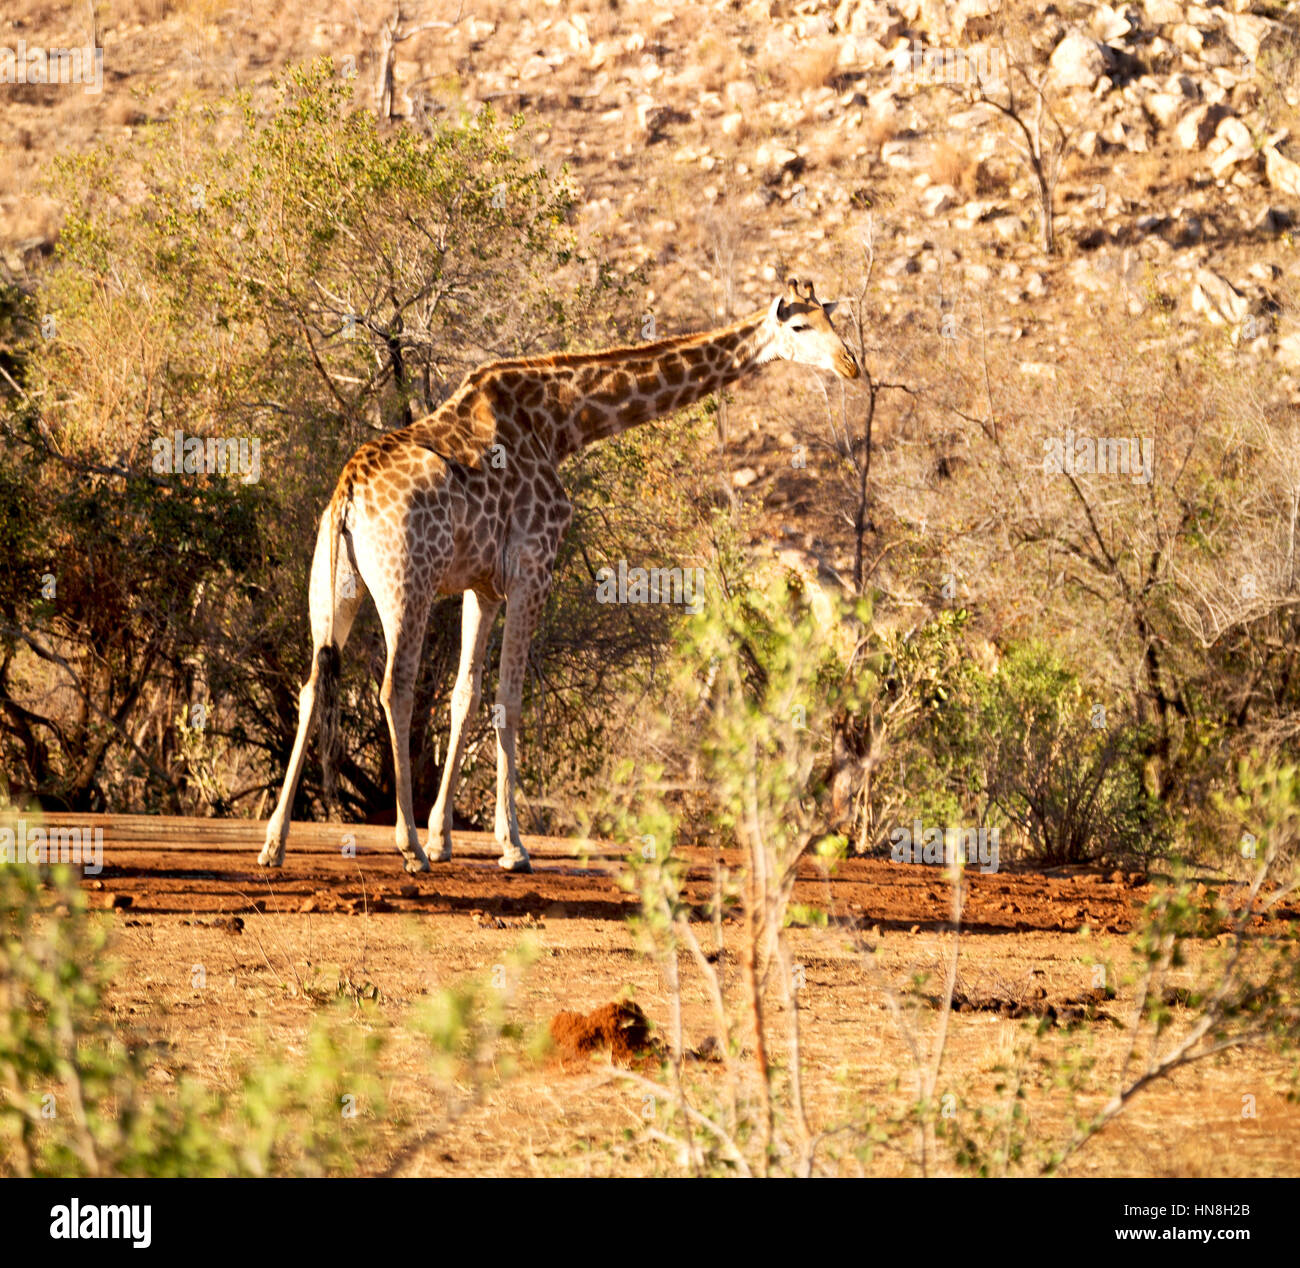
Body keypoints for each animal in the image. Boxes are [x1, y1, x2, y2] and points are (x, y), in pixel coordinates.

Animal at [258, 278, 860, 875]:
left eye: (834, 320)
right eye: (800, 326)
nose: (851, 365)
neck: (561, 424)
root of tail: (347, 492)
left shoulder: (482, 586)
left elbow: (465, 696)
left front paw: (445, 838)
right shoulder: (532, 567)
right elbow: (510, 698)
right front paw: (510, 847)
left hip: (335, 588)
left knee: (312, 684)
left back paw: (275, 842)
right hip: (408, 582)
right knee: (394, 687)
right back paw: (406, 847)